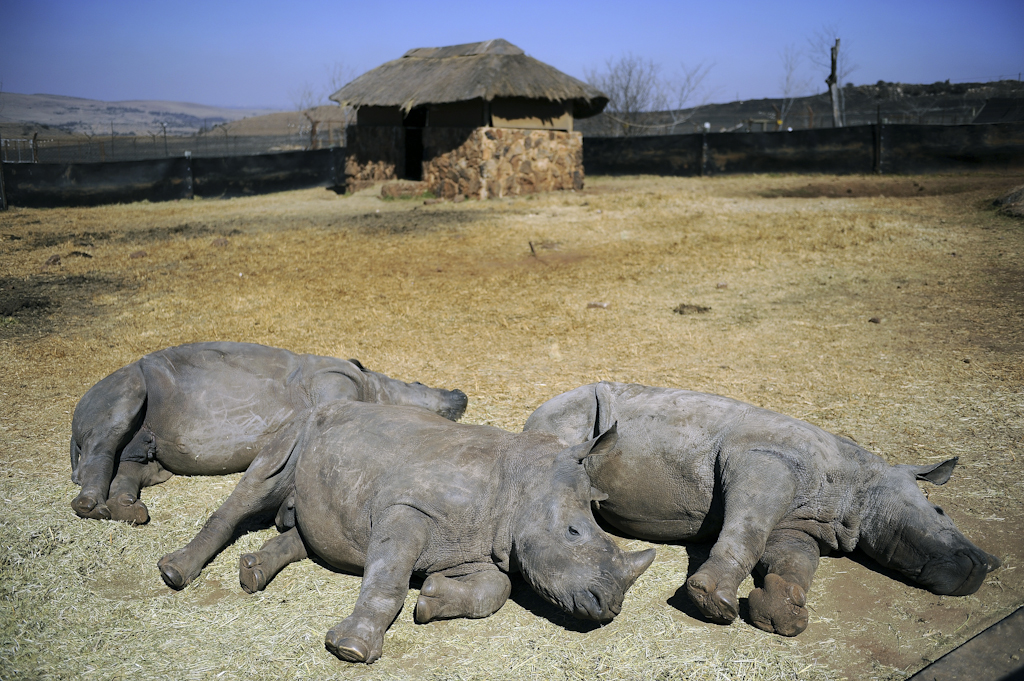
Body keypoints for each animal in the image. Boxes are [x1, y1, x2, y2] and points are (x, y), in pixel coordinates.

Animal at [70, 342, 467, 524]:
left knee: (143, 459)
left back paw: (129, 511)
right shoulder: (334, 386)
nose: (461, 395)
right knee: (116, 420)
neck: (372, 383)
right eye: (420, 384)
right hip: (124, 383)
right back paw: (91, 508)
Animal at [157, 401, 656, 664]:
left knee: (315, 527)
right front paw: (351, 648)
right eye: (573, 532)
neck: (523, 482)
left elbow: (496, 588)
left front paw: (432, 598)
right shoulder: (406, 508)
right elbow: (388, 578)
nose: (609, 606)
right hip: (297, 428)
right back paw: (174, 573)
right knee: (257, 484)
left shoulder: (481, 546)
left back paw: (252, 573)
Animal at [523, 382, 1001, 637]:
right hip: (566, 416)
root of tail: (535, 411)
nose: (982, 565)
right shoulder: (763, 459)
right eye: (940, 513)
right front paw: (713, 602)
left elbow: (793, 562)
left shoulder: (802, 523)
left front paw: (781, 615)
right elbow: (747, 531)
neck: (858, 486)